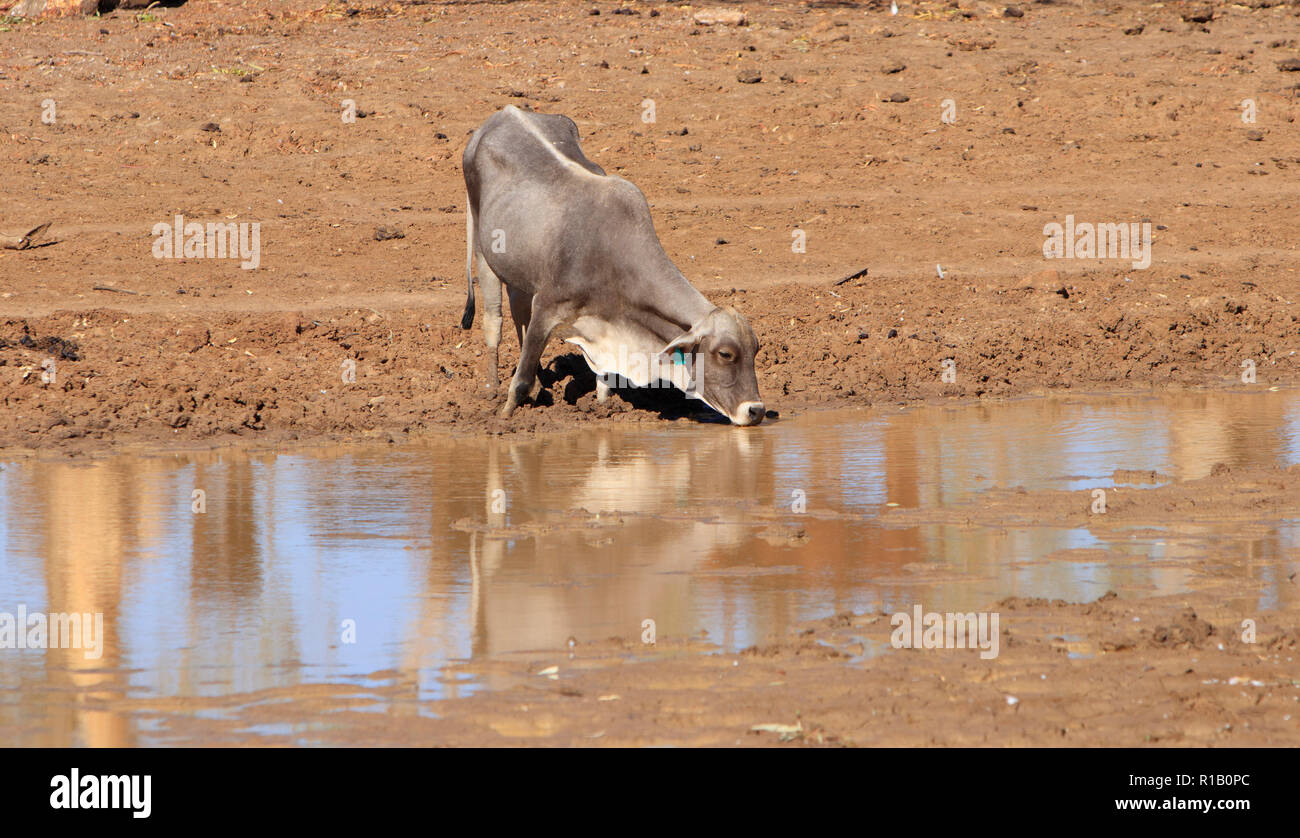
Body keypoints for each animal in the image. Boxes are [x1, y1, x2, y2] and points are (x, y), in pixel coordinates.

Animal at [459, 105, 766, 426]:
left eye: (757, 350)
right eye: (726, 354)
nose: (756, 410)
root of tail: (505, 112)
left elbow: (604, 379)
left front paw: (603, 408)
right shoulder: (546, 307)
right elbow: (520, 378)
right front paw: (506, 414)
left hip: (519, 273)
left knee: (518, 312)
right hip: (483, 249)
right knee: (494, 321)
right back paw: (493, 387)